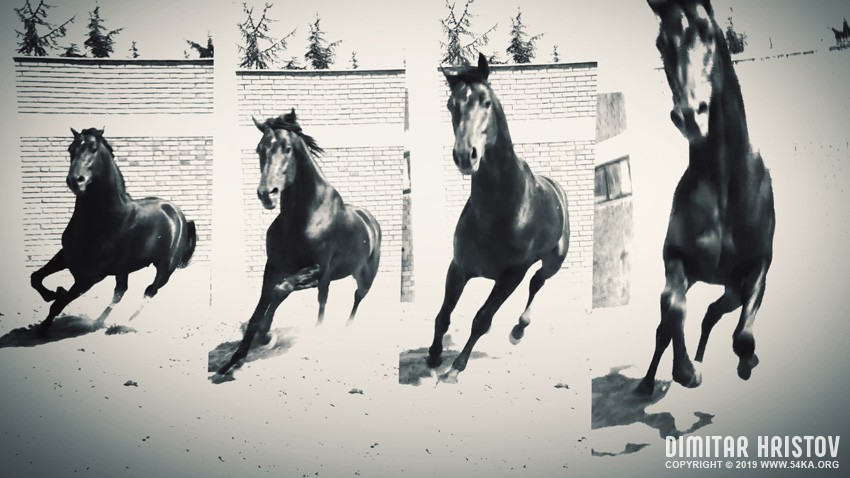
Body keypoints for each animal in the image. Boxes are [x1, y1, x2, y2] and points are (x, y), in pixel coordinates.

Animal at [29, 127, 197, 332]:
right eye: (70, 149)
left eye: (93, 148)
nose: (76, 181)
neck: (103, 221)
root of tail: (179, 215)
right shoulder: (65, 256)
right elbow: (35, 278)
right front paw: (53, 293)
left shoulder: (89, 278)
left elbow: (58, 304)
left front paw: (43, 327)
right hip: (123, 269)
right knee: (120, 292)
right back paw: (98, 322)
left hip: (165, 268)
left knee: (150, 290)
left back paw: (126, 323)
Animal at [216, 109, 382, 376]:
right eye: (259, 149)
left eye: (287, 148)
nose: (267, 194)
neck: (301, 217)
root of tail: (371, 221)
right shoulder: (274, 266)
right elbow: (262, 306)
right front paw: (233, 359)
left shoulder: (317, 269)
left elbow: (280, 290)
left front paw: (266, 335)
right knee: (323, 301)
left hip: (365, 278)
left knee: (356, 298)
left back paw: (344, 328)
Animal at [426, 53, 571, 383]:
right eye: (451, 105)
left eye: (486, 102)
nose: (465, 155)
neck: (502, 210)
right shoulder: (459, 267)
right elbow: (443, 316)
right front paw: (434, 354)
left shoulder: (511, 275)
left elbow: (482, 319)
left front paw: (456, 368)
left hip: (553, 263)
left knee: (537, 282)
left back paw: (519, 330)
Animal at [636, 0, 775, 395]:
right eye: (660, 43)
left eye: (708, 31)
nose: (689, 115)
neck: (727, 192)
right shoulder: (676, 259)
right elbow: (673, 307)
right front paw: (686, 372)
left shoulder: (759, 266)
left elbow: (743, 335)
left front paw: (746, 363)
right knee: (666, 328)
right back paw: (650, 382)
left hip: (731, 290)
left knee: (714, 313)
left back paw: (707, 357)